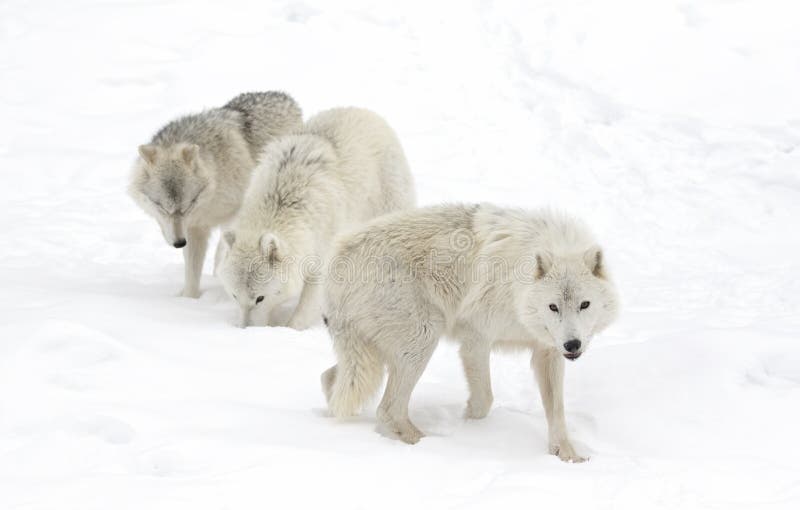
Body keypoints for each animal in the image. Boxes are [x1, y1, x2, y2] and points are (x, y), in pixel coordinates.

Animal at [128, 91, 303, 298]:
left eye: (188, 204)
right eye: (161, 207)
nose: (179, 243)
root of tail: (285, 96)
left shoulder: (231, 215)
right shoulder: (193, 228)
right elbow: (192, 270)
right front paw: (188, 299)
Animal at [217, 107, 416, 329]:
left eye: (260, 298)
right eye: (235, 295)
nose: (246, 329)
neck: (282, 200)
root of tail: (368, 113)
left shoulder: (324, 244)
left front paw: (291, 328)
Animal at [321, 204, 619, 462]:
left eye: (584, 304)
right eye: (553, 306)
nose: (572, 345)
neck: (516, 286)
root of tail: (338, 258)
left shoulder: (547, 350)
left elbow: (557, 410)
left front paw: (567, 455)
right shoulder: (476, 339)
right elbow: (484, 399)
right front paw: (471, 428)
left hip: (377, 354)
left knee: (330, 379)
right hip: (423, 337)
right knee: (387, 410)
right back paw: (423, 443)